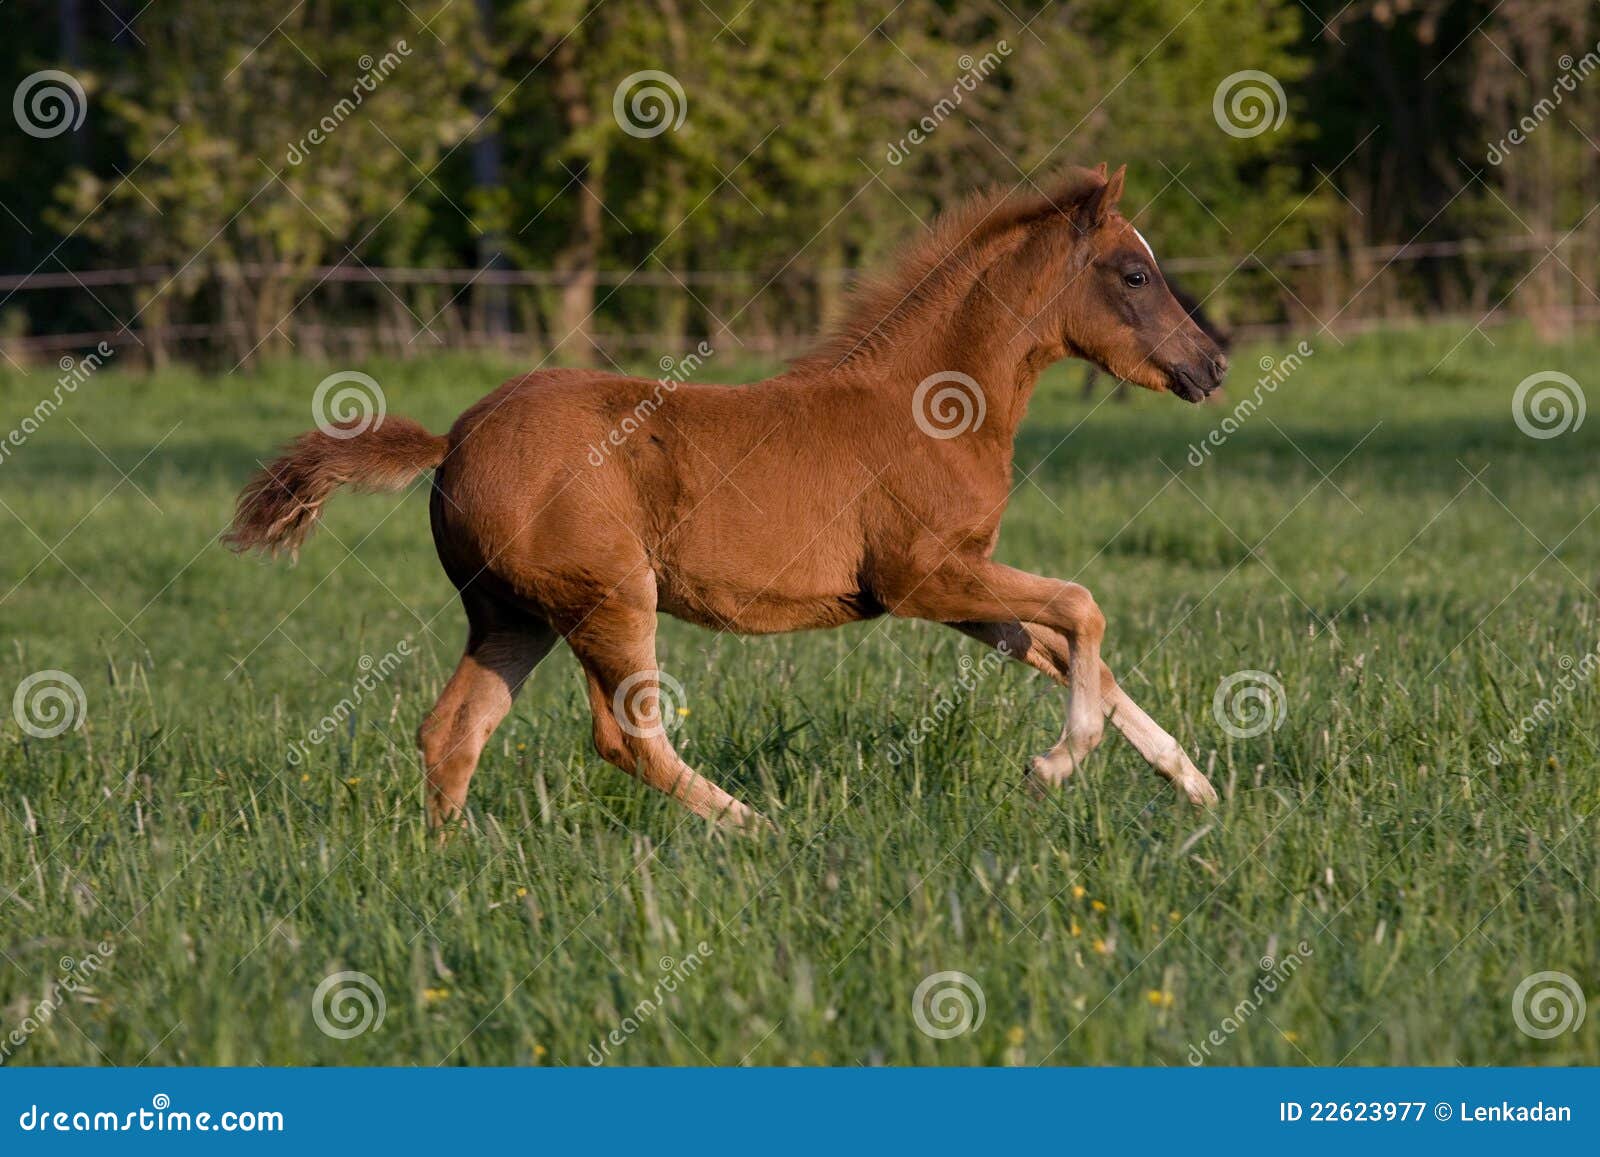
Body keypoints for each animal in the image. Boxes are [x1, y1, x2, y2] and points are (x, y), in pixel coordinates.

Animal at [226, 163, 1229, 832]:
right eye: (1134, 274)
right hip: (609, 599)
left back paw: (455, 862)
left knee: (452, 730)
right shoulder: (923, 578)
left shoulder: (962, 586)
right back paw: (755, 827)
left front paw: (1194, 783)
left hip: (515, 614)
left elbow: (1069, 650)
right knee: (625, 738)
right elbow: (1083, 609)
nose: (1212, 366)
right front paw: (1052, 766)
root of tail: (453, 441)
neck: (930, 403)